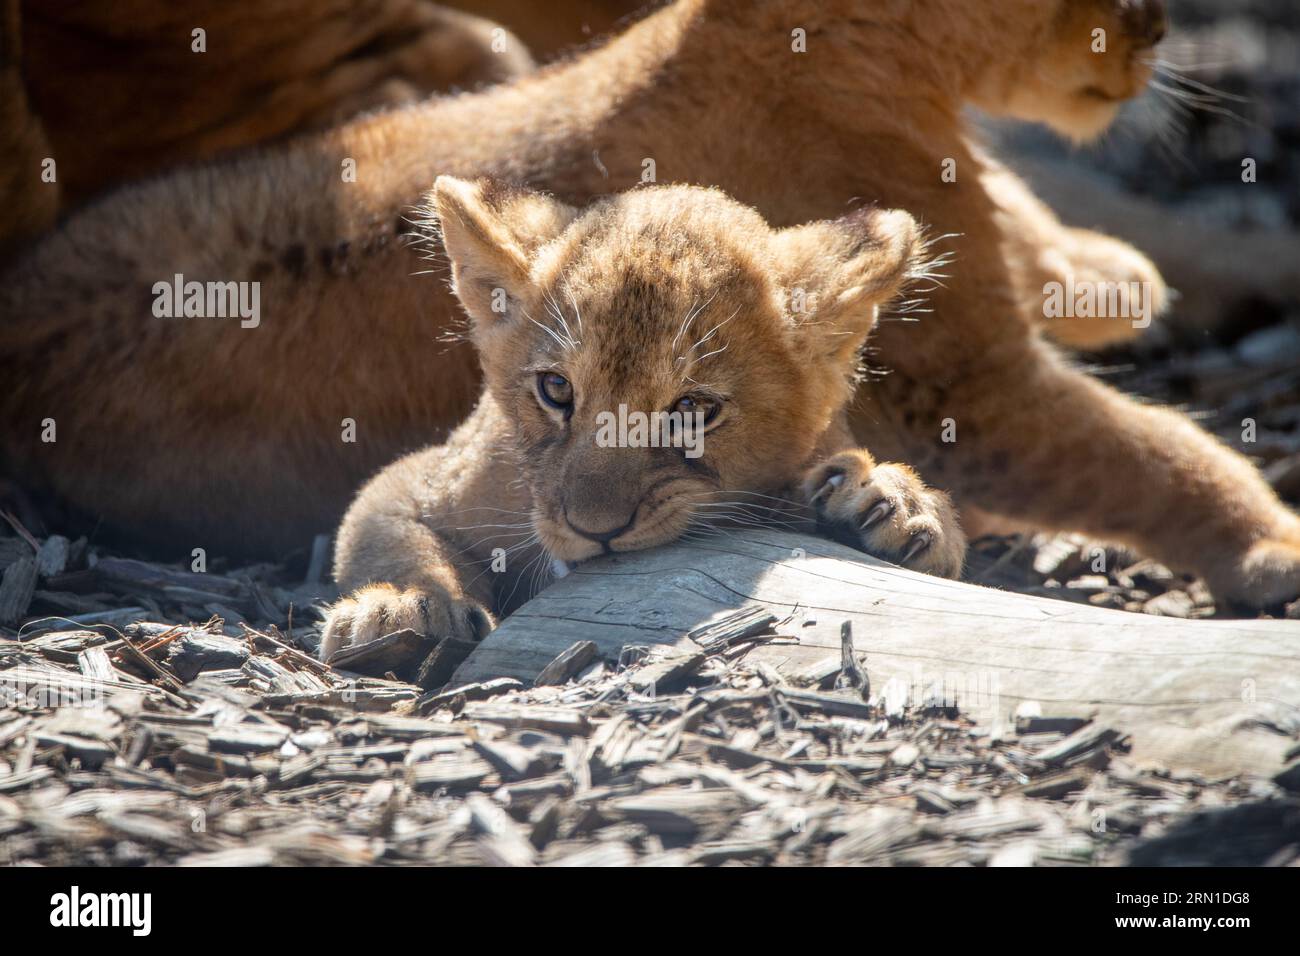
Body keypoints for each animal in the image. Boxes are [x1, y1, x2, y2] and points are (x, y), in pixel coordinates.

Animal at [320, 176, 966, 656]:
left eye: (693, 410)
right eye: (556, 388)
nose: (595, 531)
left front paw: (889, 506)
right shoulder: (426, 478)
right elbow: (391, 535)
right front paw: (401, 609)